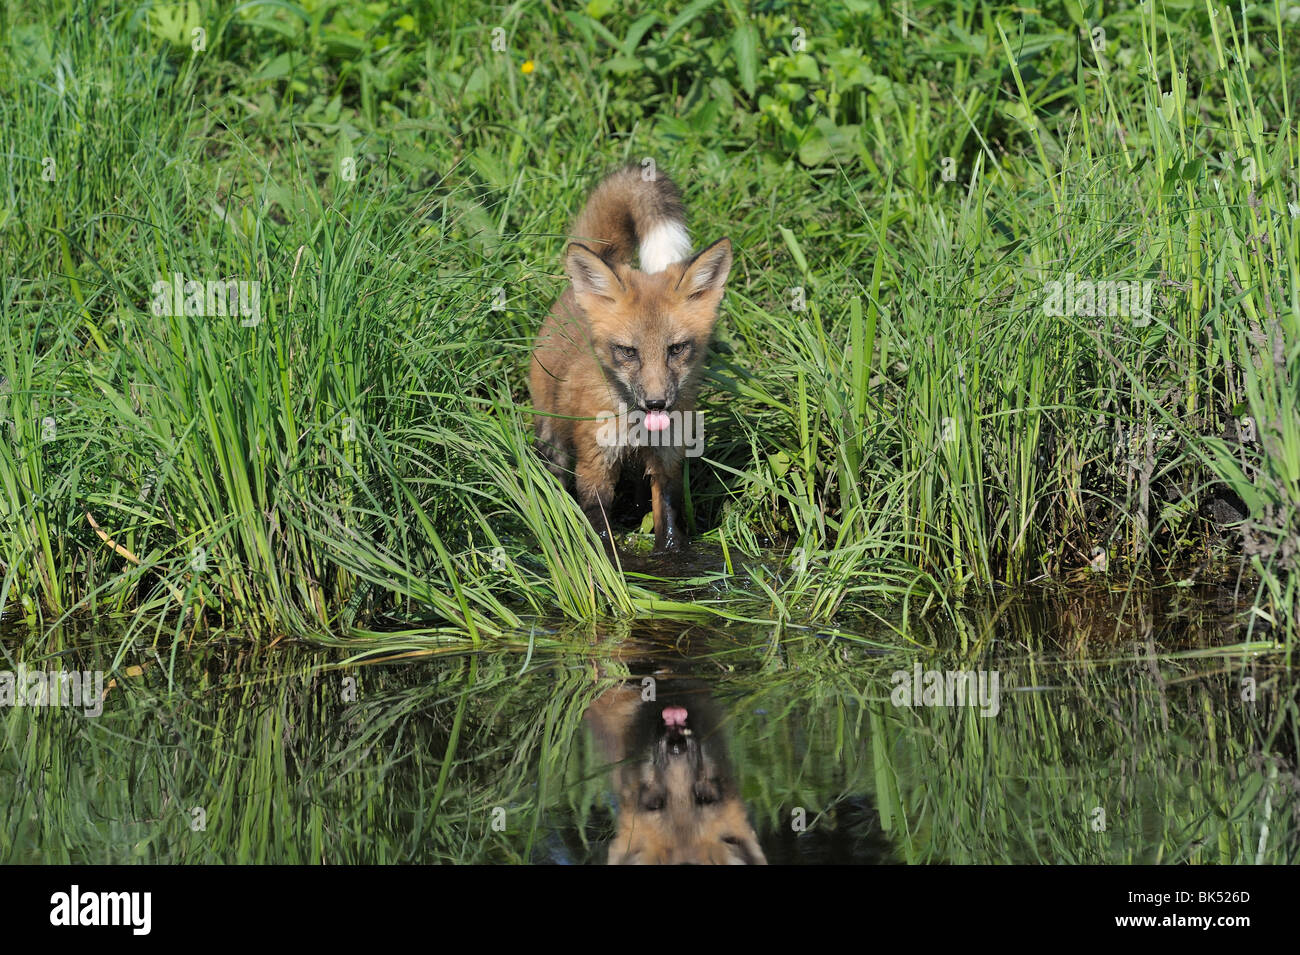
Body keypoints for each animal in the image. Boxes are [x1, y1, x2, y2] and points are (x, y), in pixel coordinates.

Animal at [529, 164, 733, 552]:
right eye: (628, 352)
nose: (656, 403)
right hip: (553, 436)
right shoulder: (595, 464)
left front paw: (671, 554)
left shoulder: (667, 459)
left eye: (676, 348)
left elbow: (668, 522)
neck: (637, 427)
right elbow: (599, 525)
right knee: (554, 474)